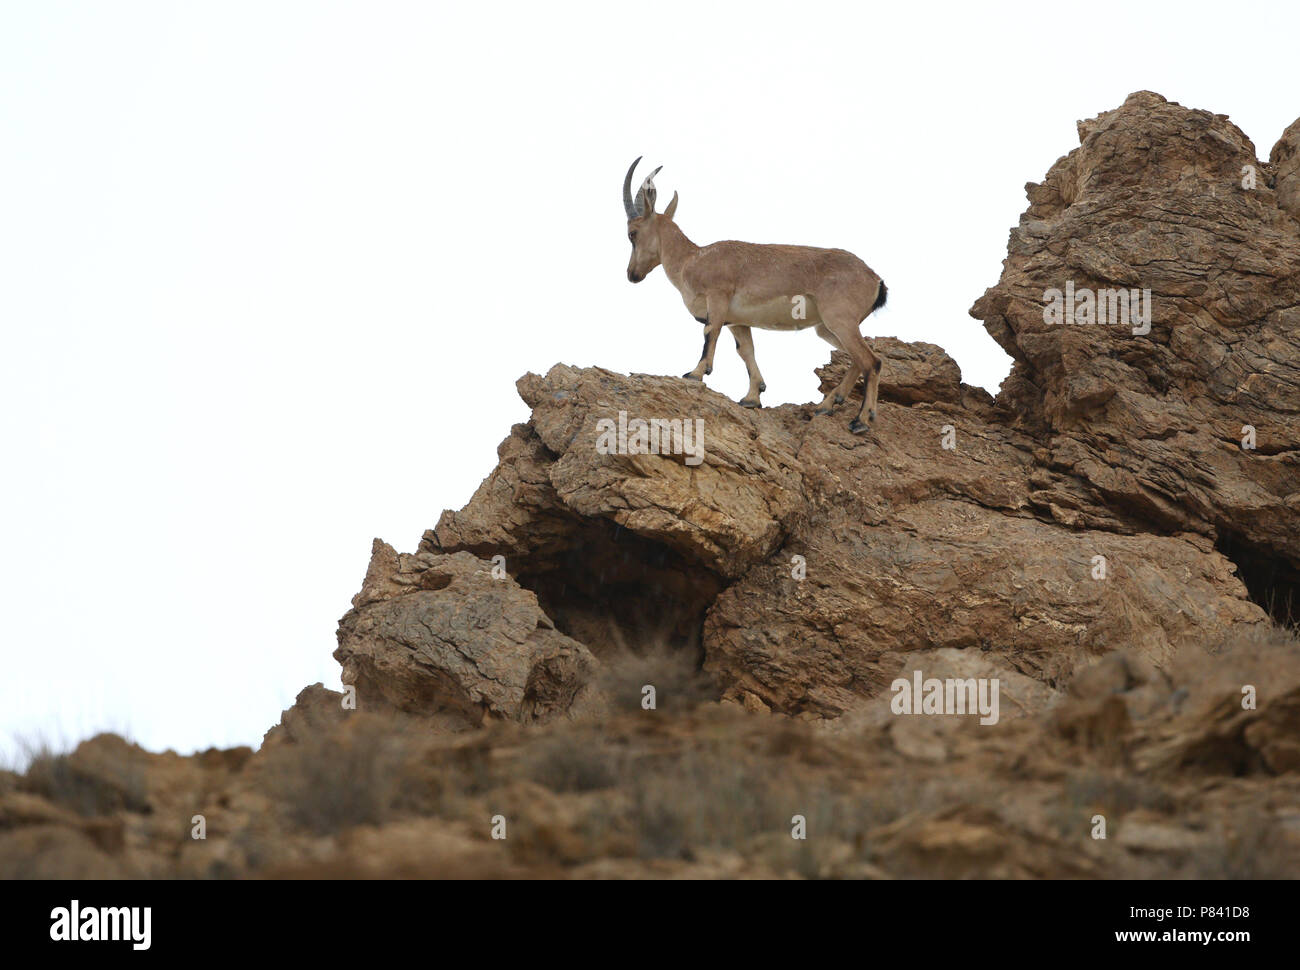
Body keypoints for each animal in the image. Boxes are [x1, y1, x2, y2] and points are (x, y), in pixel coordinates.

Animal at [622, 158, 888, 434]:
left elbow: (710, 333)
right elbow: (746, 351)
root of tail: (875, 279)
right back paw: (826, 405)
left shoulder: (717, 298)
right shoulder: (738, 322)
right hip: (827, 328)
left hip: (840, 321)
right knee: (857, 359)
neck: (693, 259)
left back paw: (861, 420)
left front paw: (695, 373)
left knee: (872, 361)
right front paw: (752, 397)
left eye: (632, 233)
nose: (632, 274)